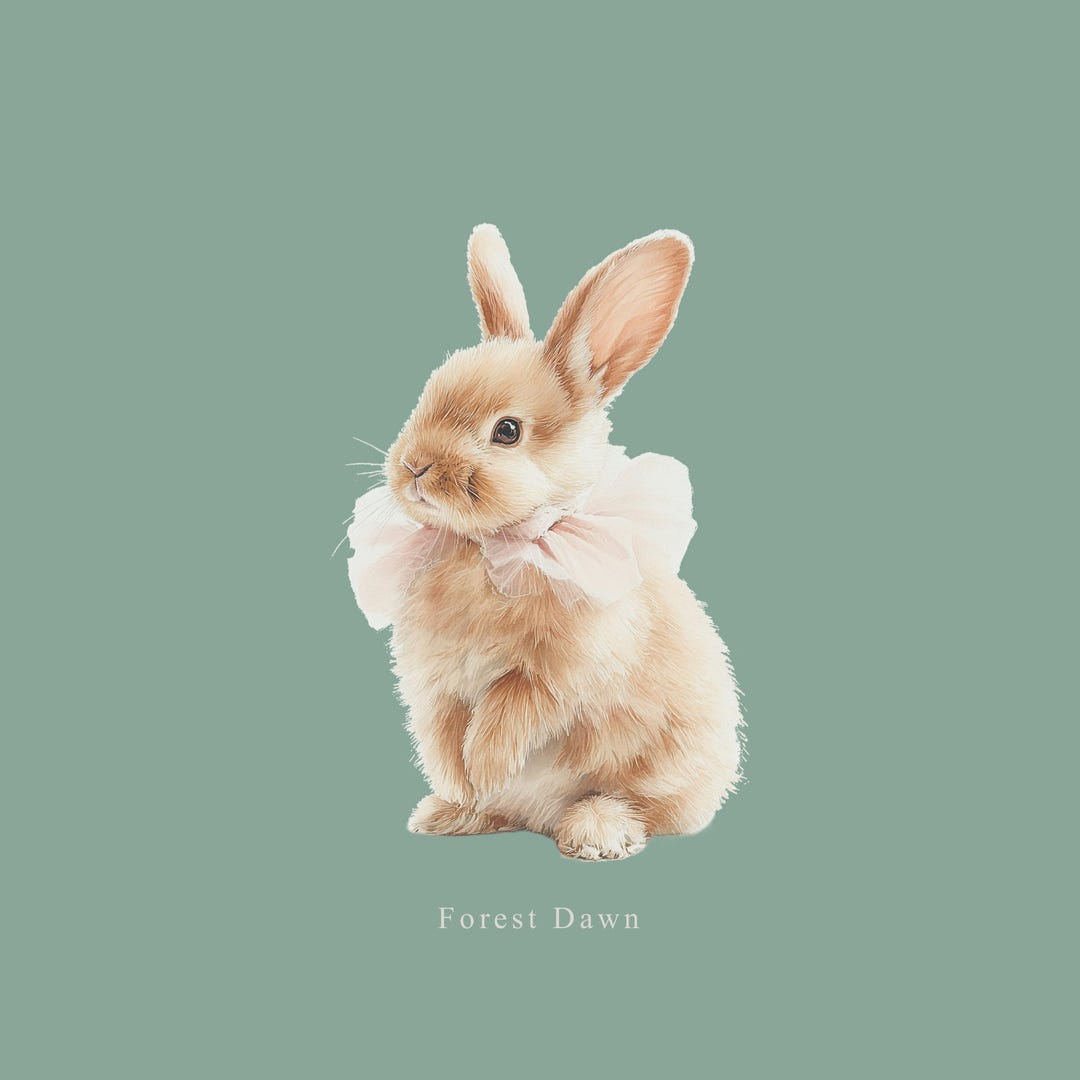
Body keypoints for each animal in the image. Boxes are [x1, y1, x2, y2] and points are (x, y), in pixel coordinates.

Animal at [346, 224, 742, 860]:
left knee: (642, 808)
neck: (489, 548)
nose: (414, 467)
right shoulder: (434, 681)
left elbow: (515, 706)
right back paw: (453, 812)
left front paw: (484, 763)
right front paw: (462, 781)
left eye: (507, 431)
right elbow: (441, 727)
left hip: (660, 765)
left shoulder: (566, 668)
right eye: (426, 397)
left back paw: (594, 832)